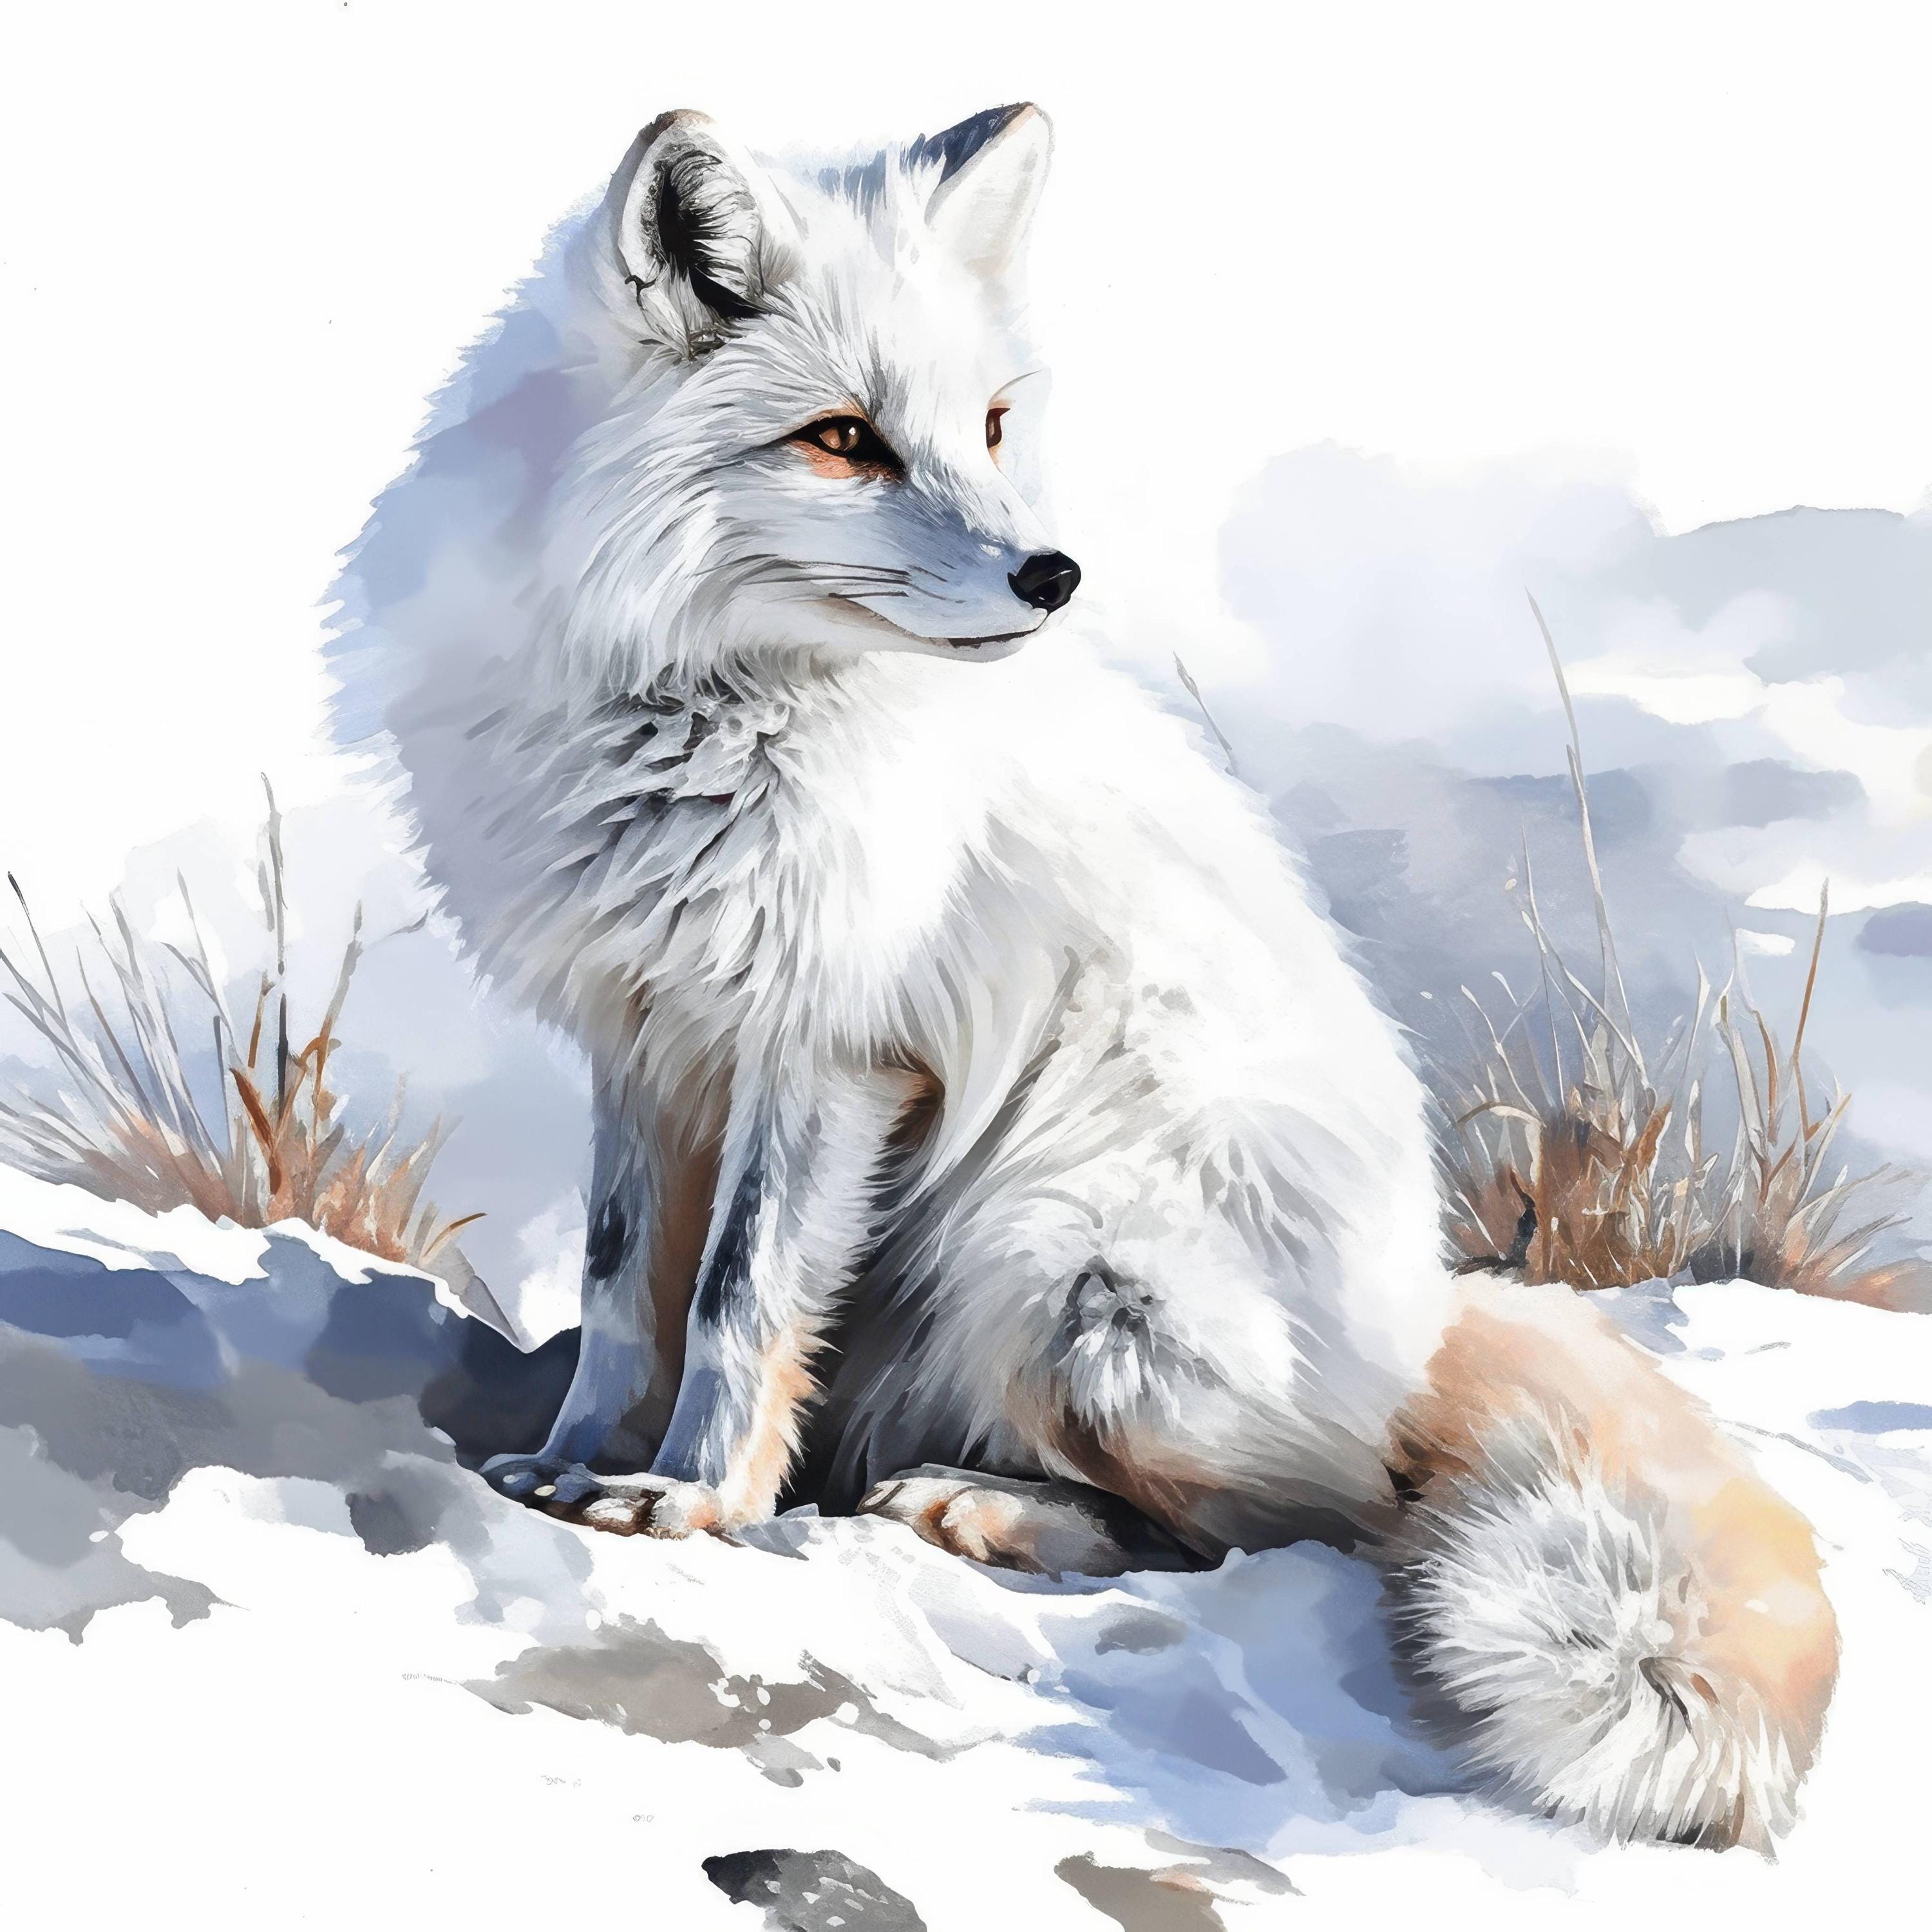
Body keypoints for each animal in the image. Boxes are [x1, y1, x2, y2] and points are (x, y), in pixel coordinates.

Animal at [330, 103, 1837, 1850]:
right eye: (842, 438)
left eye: (989, 425)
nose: (1053, 576)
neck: (703, 714)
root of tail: (1418, 1325)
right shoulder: (643, 1032)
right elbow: (622, 1289)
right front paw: (569, 1458)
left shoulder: (833, 1048)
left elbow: (736, 1302)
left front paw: (690, 1496)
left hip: (1064, 1276)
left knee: (1292, 1529)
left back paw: (985, 1507)